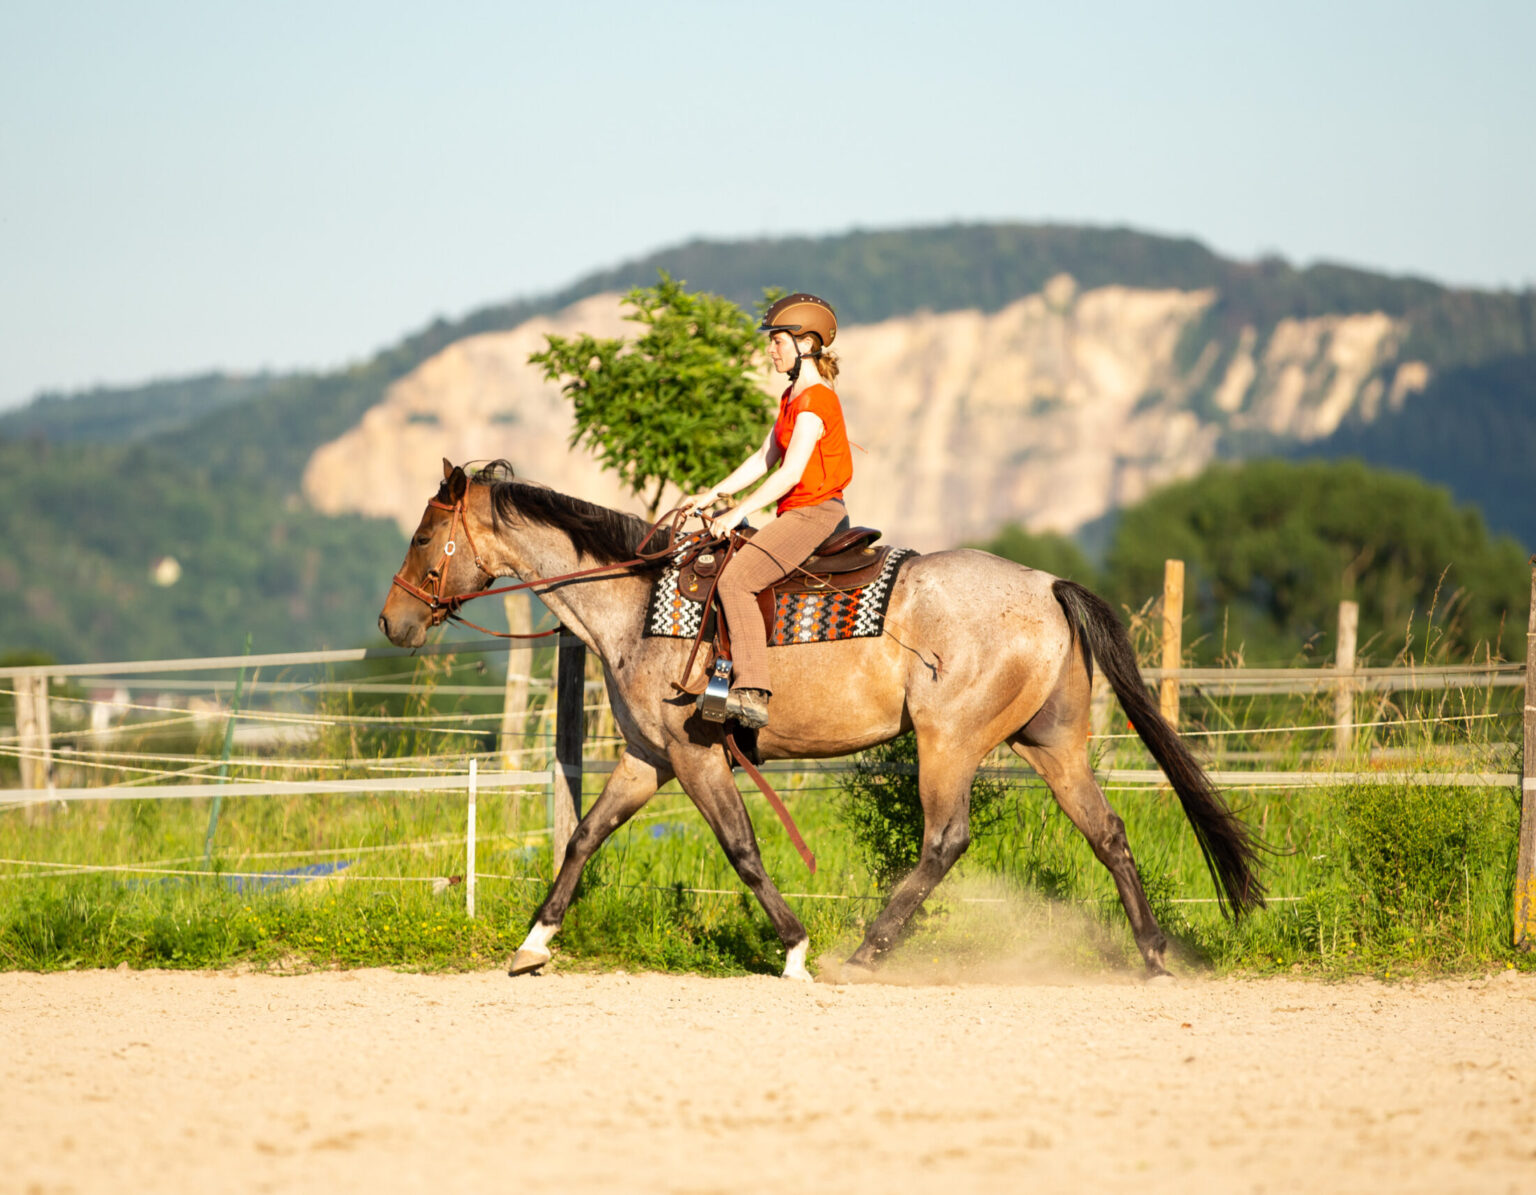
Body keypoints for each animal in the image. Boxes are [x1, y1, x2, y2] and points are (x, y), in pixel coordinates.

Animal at [378, 460, 1264, 981]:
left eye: (423, 535)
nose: (393, 622)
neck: (635, 605)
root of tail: (1046, 584)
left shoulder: (696, 758)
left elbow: (740, 848)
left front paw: (797, 946)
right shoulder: (645, 758)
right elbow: (585, 837)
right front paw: (533, 943)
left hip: (949, 742)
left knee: (944, 841)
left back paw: (866, 950)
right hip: (1053, 744)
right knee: (1107, 832)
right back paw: (1152, 954)